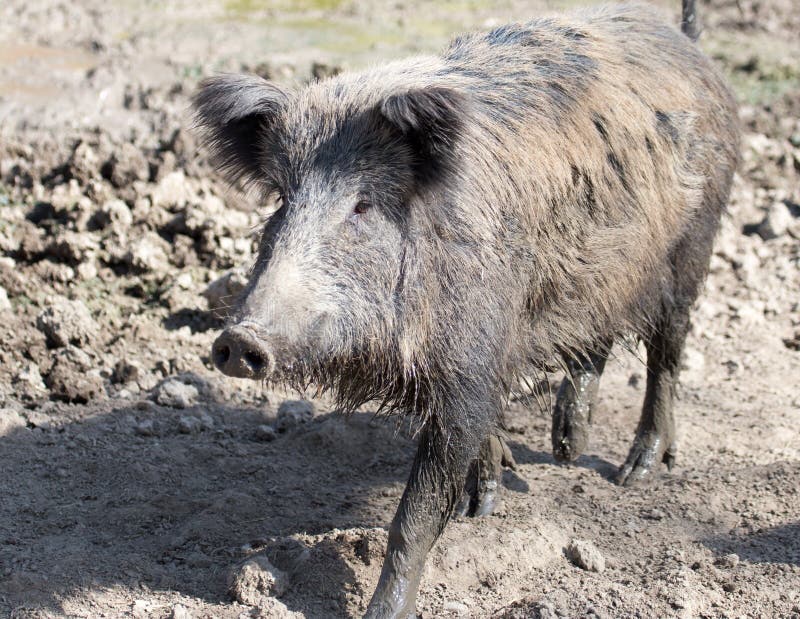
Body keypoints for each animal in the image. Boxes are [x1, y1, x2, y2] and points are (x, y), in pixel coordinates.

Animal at [192, 1, 739, 616]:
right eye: (283, 199)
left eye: (363, 205)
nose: (240, 340)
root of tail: (688, 44)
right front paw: (482, 504)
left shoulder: (469, 365)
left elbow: (413, 518)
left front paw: (387, 608)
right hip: (597, 269)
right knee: (594, 339)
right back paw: (567, 449)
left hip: (693, 243)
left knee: (668, 345)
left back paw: (634, 474)